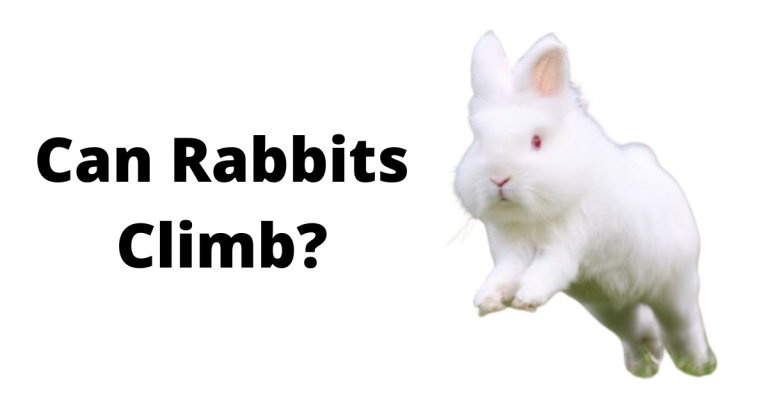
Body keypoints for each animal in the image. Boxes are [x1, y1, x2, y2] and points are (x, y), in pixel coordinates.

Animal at [454, 32, 716, 377]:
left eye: (536, 141)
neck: (530, 219)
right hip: (609, 308)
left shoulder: (565, 247)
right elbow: (503, 274)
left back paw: (699, 366)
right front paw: (488, 300)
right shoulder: (511, 251)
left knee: (684, 327)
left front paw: (526, 298)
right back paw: (643, 367)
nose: (499, 179)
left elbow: (546, 270)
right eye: (479, 141)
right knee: (637, 332)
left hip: (676, 288)